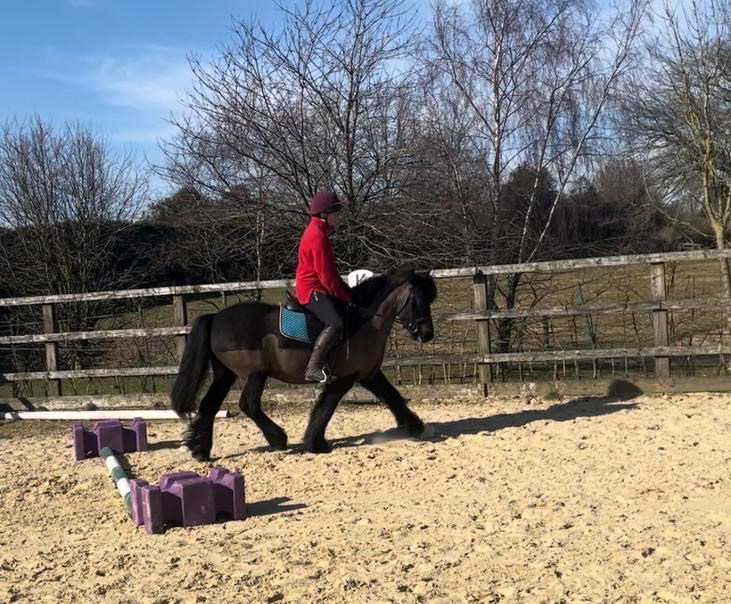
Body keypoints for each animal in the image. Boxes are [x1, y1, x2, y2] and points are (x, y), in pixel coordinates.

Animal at [171, 267, 437, 459]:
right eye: (417, 299)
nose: (427, 333)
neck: (365, 321)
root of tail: (216, 317)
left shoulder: (368, 373)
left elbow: (392, 397)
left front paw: (414, 426)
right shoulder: (345, 377)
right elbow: (327, 406)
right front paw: (315, 442)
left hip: (225, 374)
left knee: (209, 405)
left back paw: (200, 450)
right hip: (254, 374)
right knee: (248, 404)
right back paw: (278, 438)